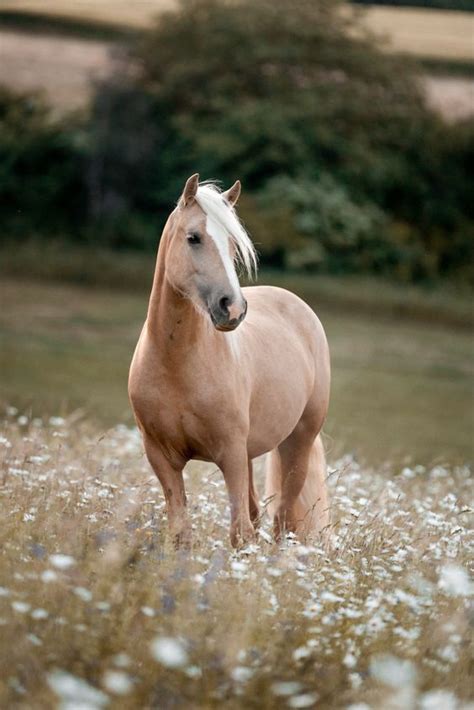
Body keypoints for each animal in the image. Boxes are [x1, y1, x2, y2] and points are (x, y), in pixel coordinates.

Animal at [128, 174, 331, 548]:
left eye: (234, 246)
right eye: (193, 237)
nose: (232, 308)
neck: (177, 364)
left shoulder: (231, 454)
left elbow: (240, 533)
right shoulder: (161, 457)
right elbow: (180, 532)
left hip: (297, 442)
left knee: (282, 521)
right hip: (253, 454)